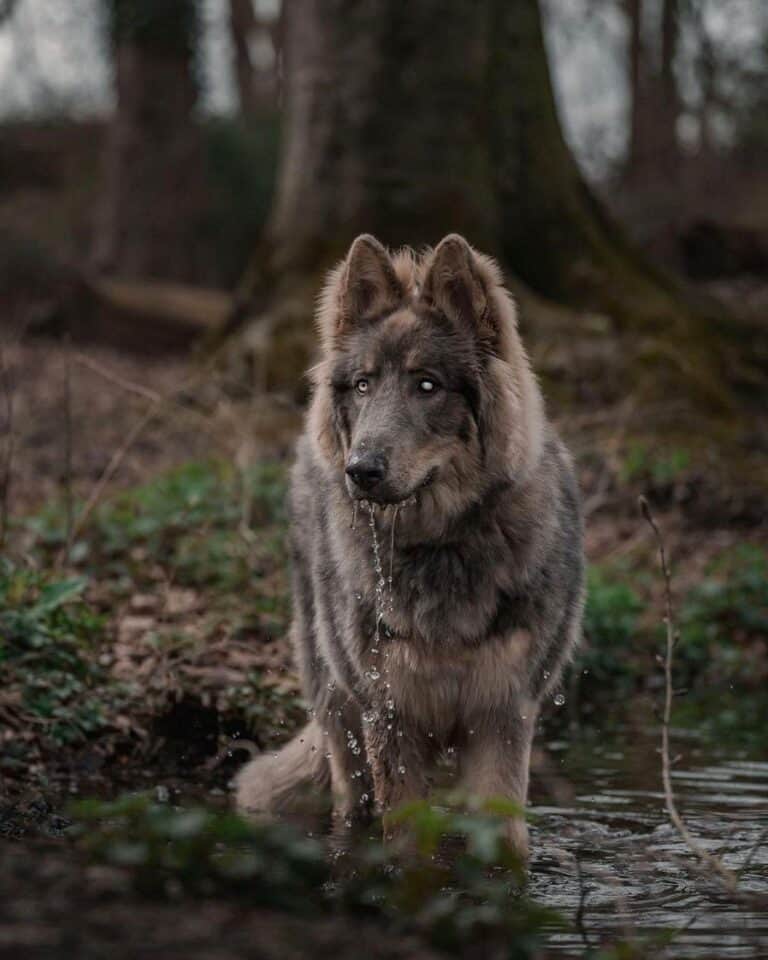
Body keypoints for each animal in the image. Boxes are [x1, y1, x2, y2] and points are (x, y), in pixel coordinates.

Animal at [235, 233, 584, 856]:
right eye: (364, 384)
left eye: (427, 385)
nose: (361, 471)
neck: (438, 548)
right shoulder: (390, 721)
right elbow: (405, 843)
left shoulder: (502, 721)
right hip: (341, 712)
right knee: (350, 804)